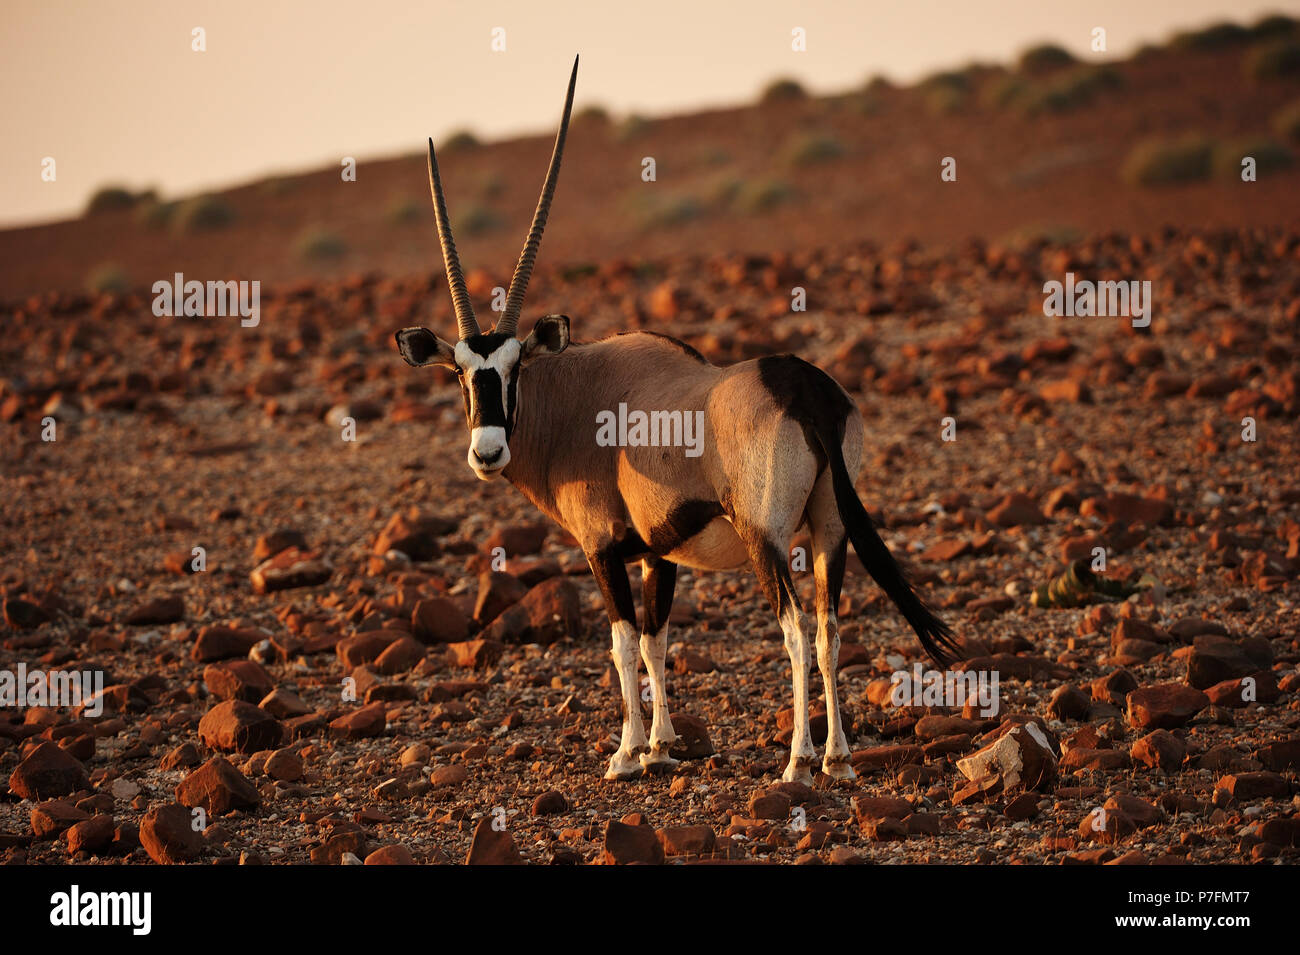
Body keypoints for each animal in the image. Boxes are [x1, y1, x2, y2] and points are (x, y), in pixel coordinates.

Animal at [396, 56, 958, 784]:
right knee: (830, 625)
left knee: (795, 629)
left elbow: (620, 642)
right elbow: (657, 641)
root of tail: (804, 389)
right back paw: (838, 757)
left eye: (514, 367)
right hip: (831, 530)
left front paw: (626, 754)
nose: (487, 452)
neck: (579, 394)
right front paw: (662, 744)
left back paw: (798, 760)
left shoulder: (602, 547)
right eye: (460, 373)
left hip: (766, 535)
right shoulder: (658, 553)